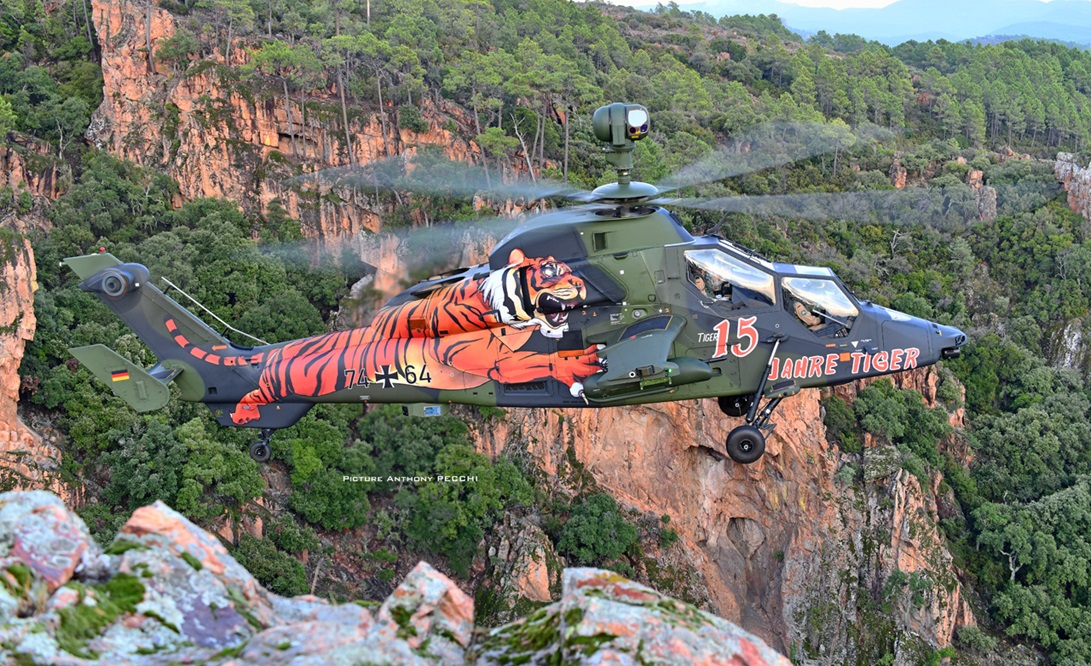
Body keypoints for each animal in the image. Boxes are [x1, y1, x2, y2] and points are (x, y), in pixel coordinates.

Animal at [166, 249, 602, 425]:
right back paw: (243, 411)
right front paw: (580, 364)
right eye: (549, 271)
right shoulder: (483, 356)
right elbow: (525, 363)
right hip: (285, 380)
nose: (581, 288)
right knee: (259, 392)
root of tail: (247, 356)